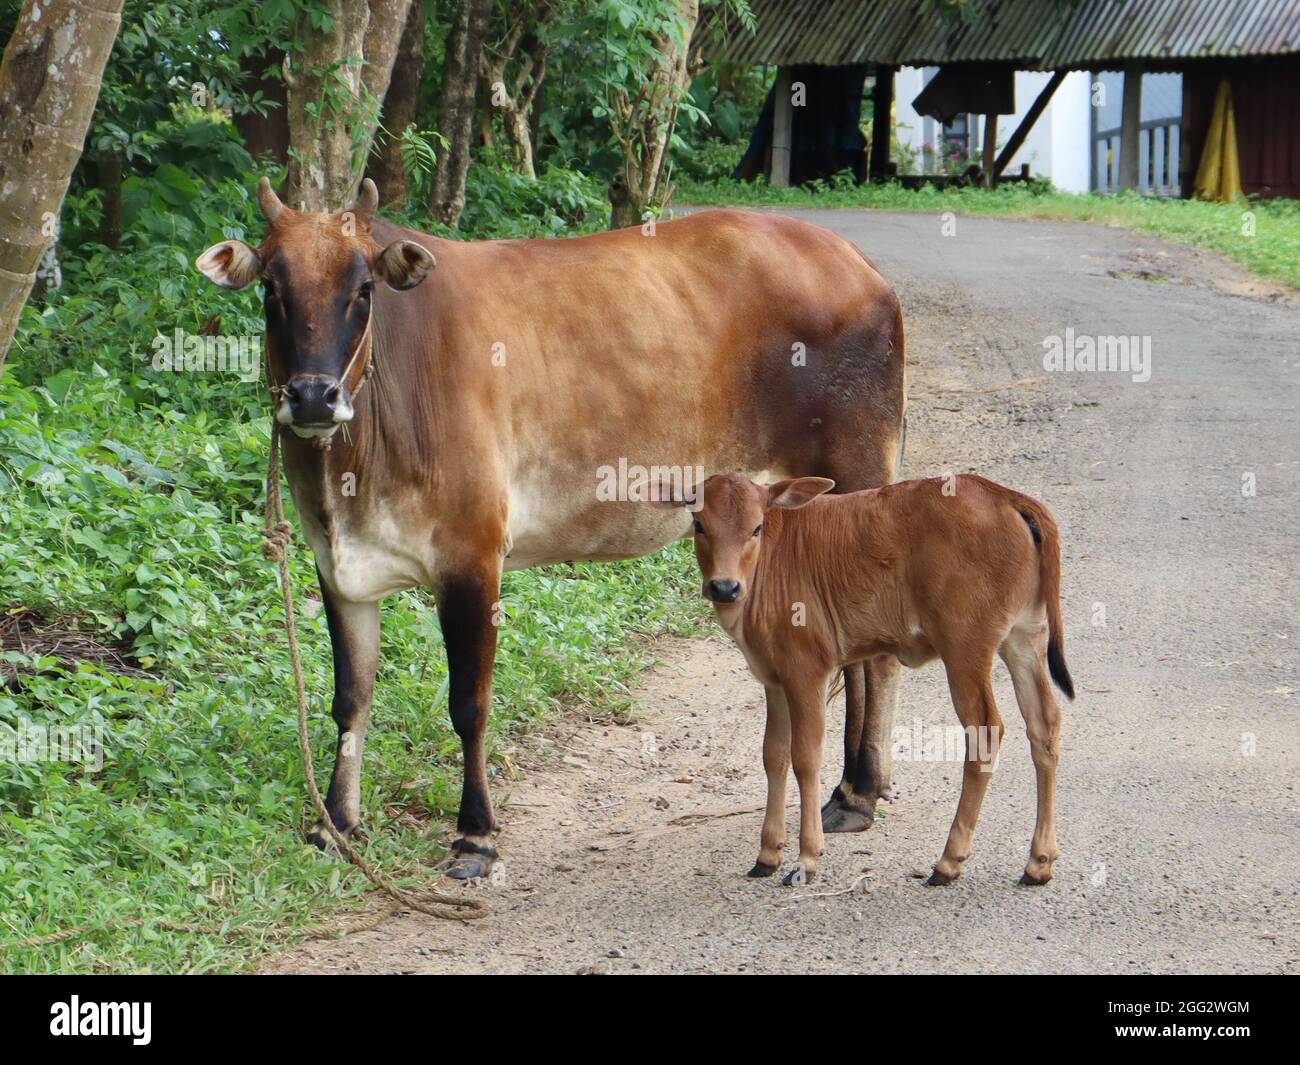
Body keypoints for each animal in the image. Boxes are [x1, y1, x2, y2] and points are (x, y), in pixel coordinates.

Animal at [195, 178, 906, 879]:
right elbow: (350, 697)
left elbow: (469, 702)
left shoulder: (472, 556)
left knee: (878, 651)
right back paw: (850, 790)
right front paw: (335, 824)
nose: (314, 397)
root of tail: (857, 261)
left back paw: (859, 795)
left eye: (363, 289)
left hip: (857, 475)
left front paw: (475, 836)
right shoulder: (338, 564)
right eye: (271, 289)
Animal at [656, 472, 1073, 887]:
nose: (724, 587)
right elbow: (773, 755)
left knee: (986, 731)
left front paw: (806, 857)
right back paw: (1039, 861)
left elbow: (805, 758)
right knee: (1044, 724)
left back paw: (949, 860)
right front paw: (767, 854)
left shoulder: (806, 671)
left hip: (965, 649)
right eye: (699, 525)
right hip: (1024, 637)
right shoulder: (773, 679)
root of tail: (1005, 496)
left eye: (756, 528)